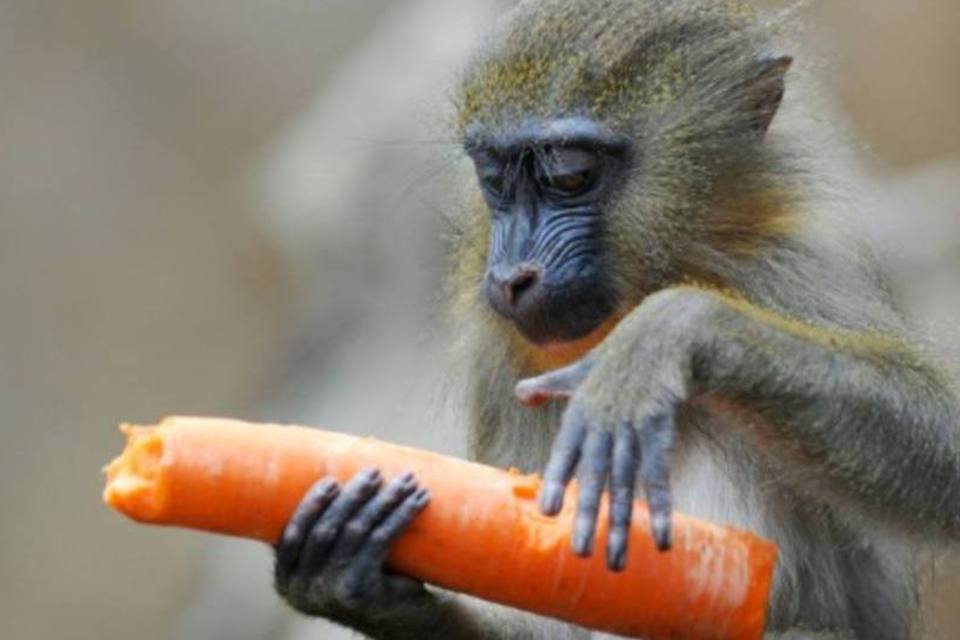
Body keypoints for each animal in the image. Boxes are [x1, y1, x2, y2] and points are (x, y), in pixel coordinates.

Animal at [272, 1, 960, 638]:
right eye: (494, 177)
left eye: (569, 175)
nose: (512, 277)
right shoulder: (502, 355)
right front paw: (353, 577)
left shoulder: (783, 269)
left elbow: (942, 433)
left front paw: (668, 335)